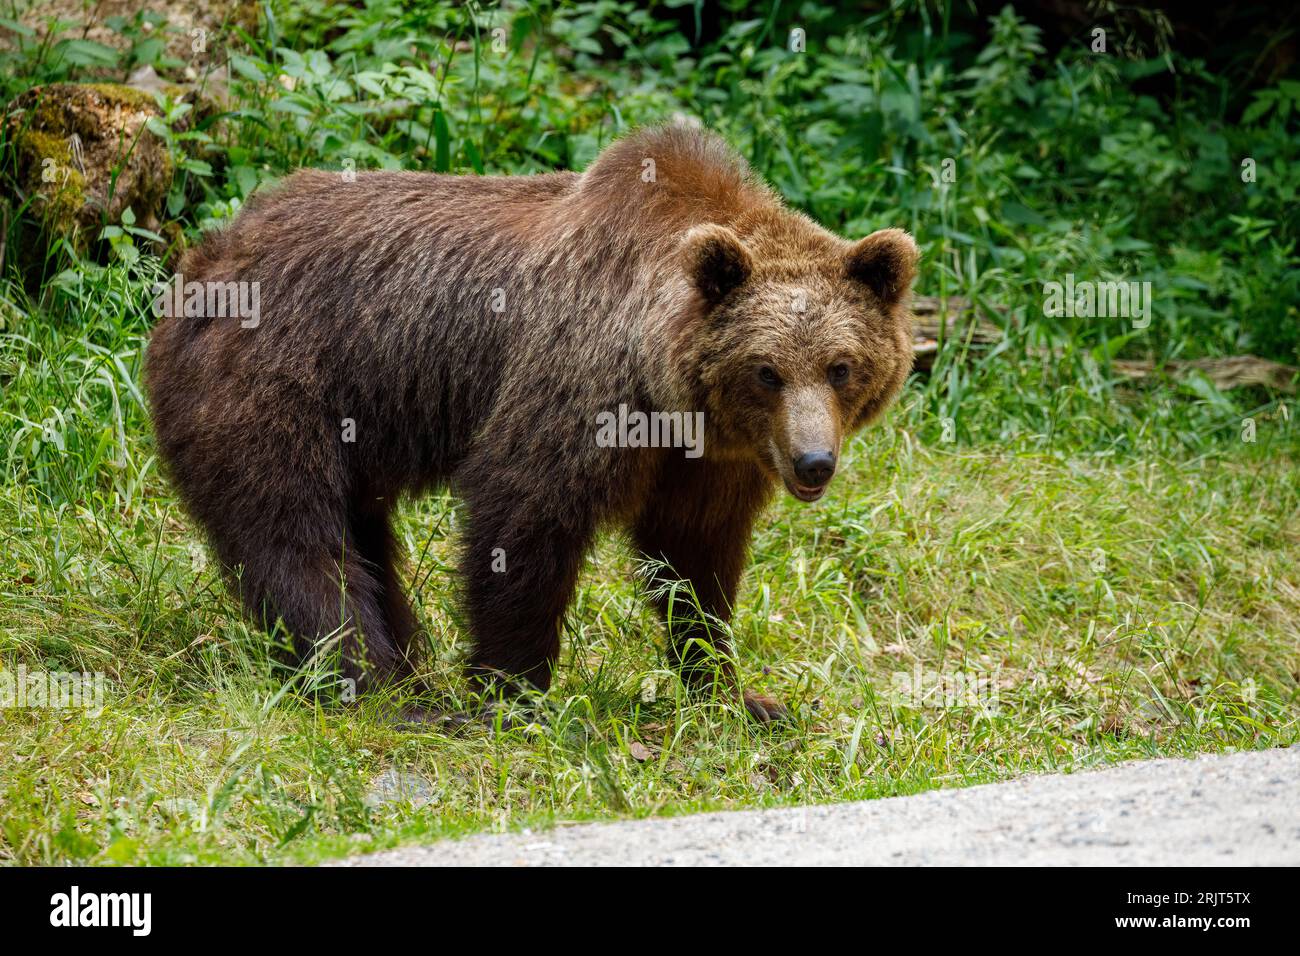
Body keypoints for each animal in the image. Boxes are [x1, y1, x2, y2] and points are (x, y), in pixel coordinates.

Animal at [144, 123, 918, 722]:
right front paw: (514, 691)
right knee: (295, 534)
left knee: (362, 536)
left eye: (840, 366)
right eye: (767, 370)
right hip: (274, 382)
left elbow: (695, 559)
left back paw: (406, 667)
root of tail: (202, 258)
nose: (813, 463)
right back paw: (380, 685)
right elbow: (525, 511)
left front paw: (736, 692)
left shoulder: (708, 458)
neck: (667, 387)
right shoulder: (582, 382)